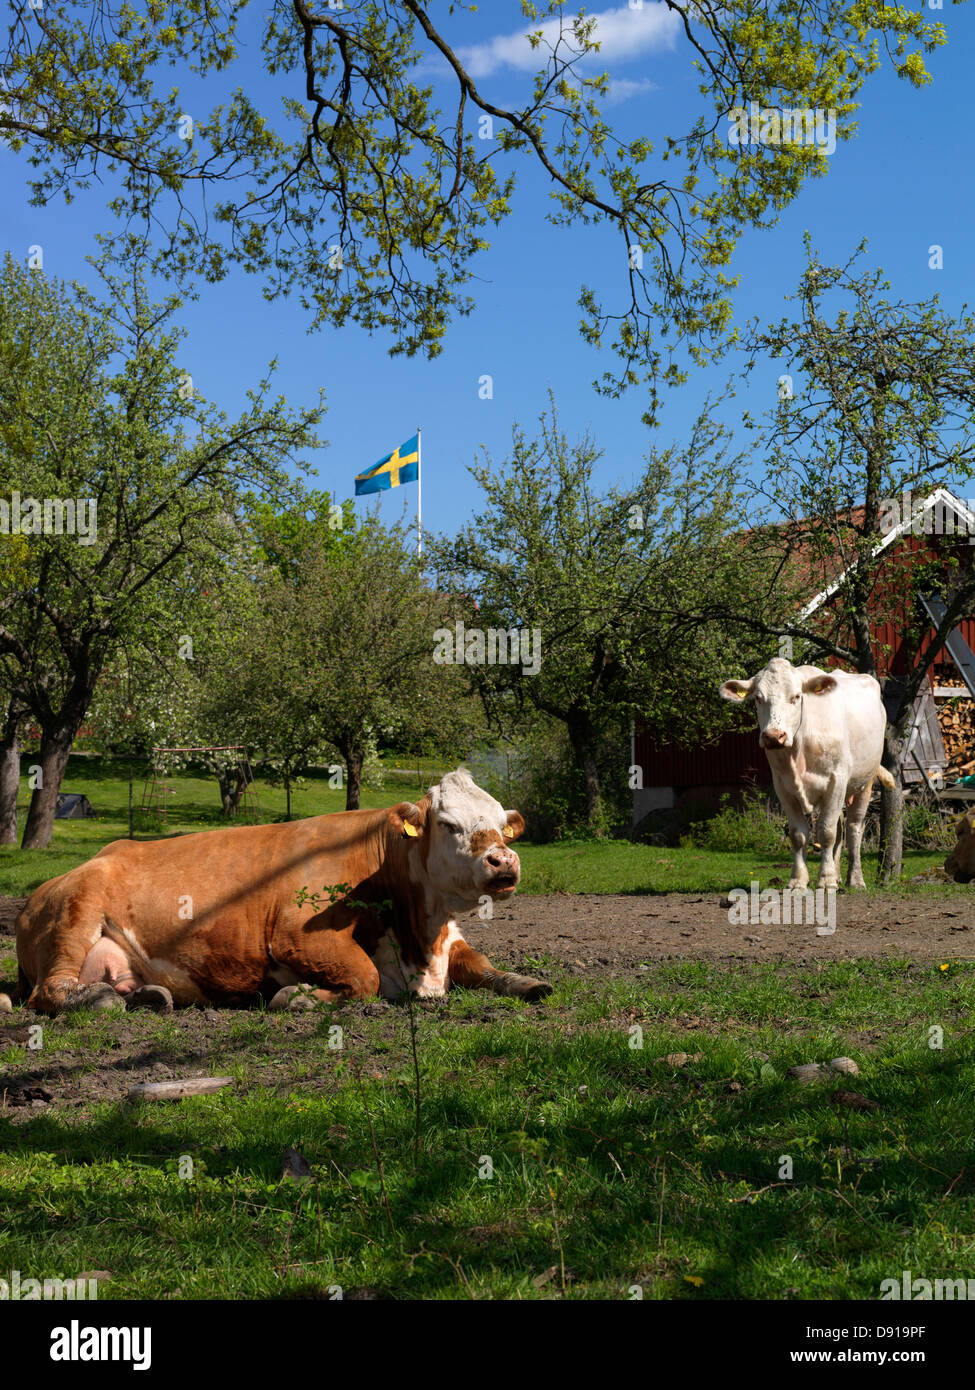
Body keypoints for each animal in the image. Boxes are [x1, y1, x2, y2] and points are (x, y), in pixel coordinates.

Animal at [15, 768, 552, 1015]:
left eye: (502, 823)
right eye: (446, 823)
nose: (503, 860)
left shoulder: (449, 940)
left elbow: (482, 966)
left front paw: (529, 983)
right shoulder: (296, 935)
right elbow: (363, 976)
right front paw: (298, 997)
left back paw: (148, 995)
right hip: (75, 913)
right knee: (51, 989)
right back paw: (101, 998)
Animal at [718, 657, 895, 891]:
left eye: (796, 696)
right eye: (758, 698)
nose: (774, 736)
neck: (798, 751)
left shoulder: (836, 781)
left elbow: (826, 832)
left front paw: (826, 880)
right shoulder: (782, 787)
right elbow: (798, 835)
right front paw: (799, 880)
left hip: (864, 782)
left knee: (854, 829)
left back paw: (855, 879)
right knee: (841, 829)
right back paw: (838, 875)